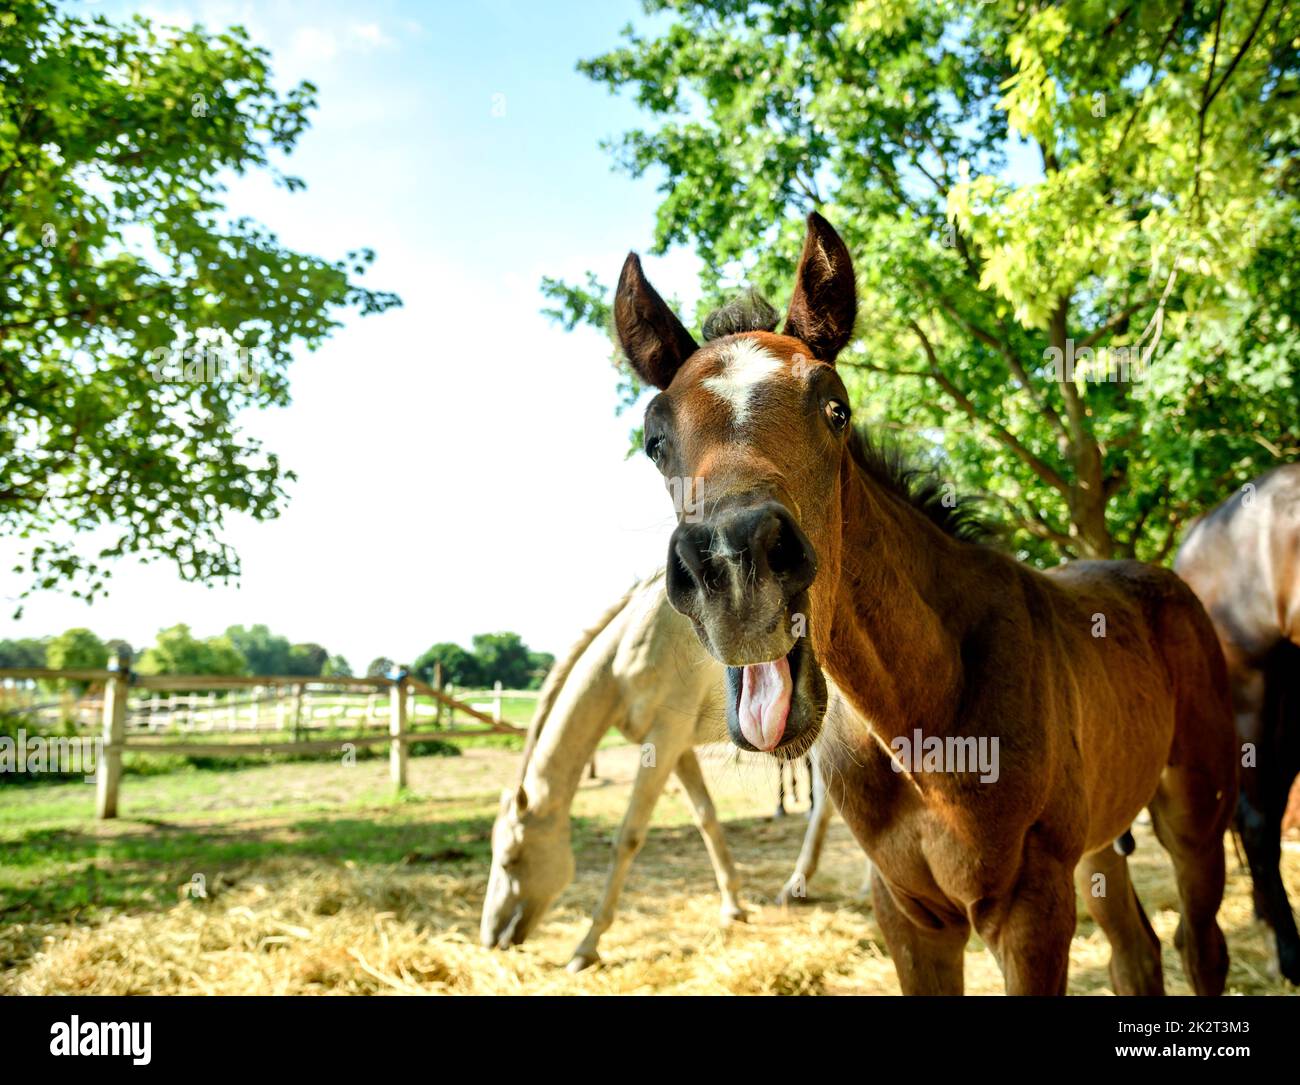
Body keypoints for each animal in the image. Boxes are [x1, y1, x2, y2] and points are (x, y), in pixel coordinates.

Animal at [481, 570, 841, 970]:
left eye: (511, 860)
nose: (490, 939)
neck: (633, 647)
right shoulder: (678, 748)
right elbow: (706, 818)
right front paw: (733, 907)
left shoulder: (664, 739)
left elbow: (628, 838)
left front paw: (587, 945)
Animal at [610, 211, 1238, 995]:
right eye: (654, 440)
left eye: (836, 409)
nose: (733, 562)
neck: (920, 713)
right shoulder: (908, 913)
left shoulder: (1030, 906)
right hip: (1098, 841)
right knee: (1137, 951)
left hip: (1193, 811)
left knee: (1198, 943)